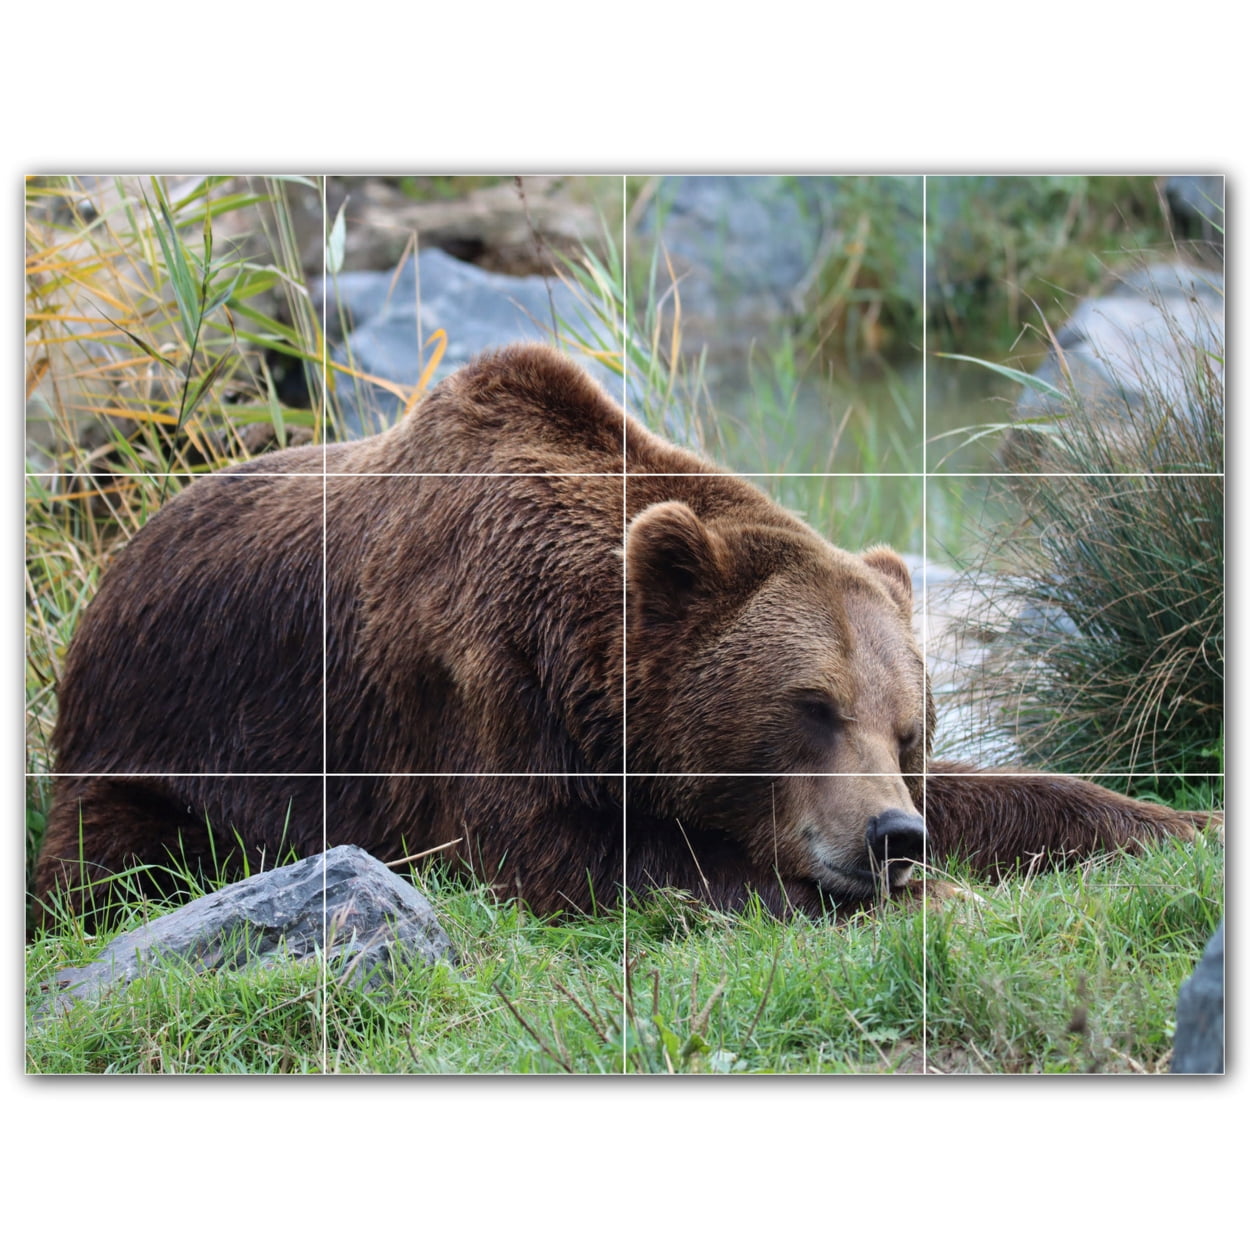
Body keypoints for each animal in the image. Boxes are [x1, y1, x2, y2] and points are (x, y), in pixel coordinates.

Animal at [31, 344, 1207, 929]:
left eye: (905, 724)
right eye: (810, 705)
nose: (889, 837)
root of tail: (122, 553)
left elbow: (1005, 795)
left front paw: (1176, 823)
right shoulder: (468, 698)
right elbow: (586, 858)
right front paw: (936, 896)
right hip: (164, 742)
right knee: (114, 862)